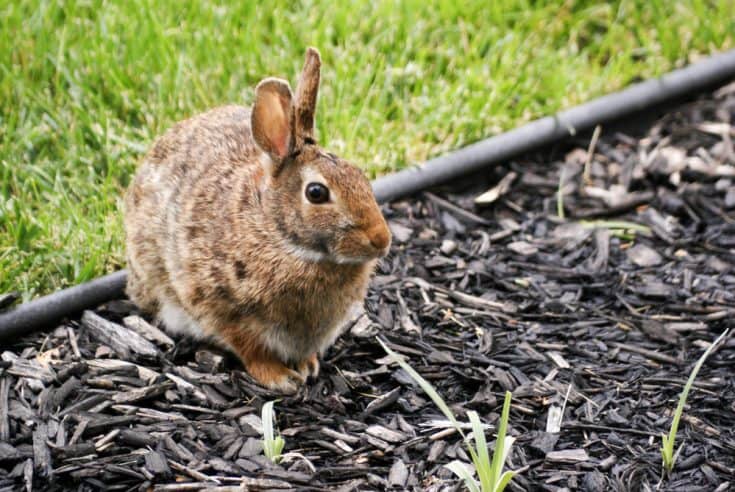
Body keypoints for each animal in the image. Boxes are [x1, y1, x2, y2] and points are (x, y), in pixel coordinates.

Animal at [124, 47, 391, 393]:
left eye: (361, 175)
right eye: (316, 193)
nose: (381, 240)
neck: (277, 233)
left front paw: (308, 365)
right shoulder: (225, 311)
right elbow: (251, 349)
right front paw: (280, 378)